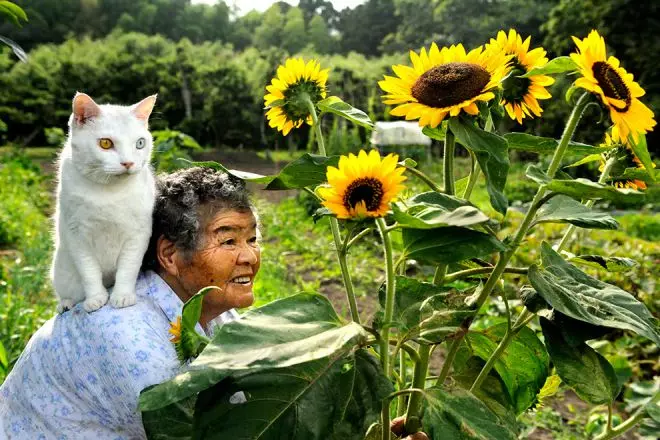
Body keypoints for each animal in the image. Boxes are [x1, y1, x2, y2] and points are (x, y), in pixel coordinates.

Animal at [52, 92, 157, 312]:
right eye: (106, 143)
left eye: (140, 143)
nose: (128, 163)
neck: (109, 192)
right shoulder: (77, 236)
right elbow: (89, 271)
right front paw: (95, 299)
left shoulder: (138, 234)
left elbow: (128, 269)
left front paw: (122, 296)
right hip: (62, 274)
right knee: (67, 293)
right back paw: (65, 304)